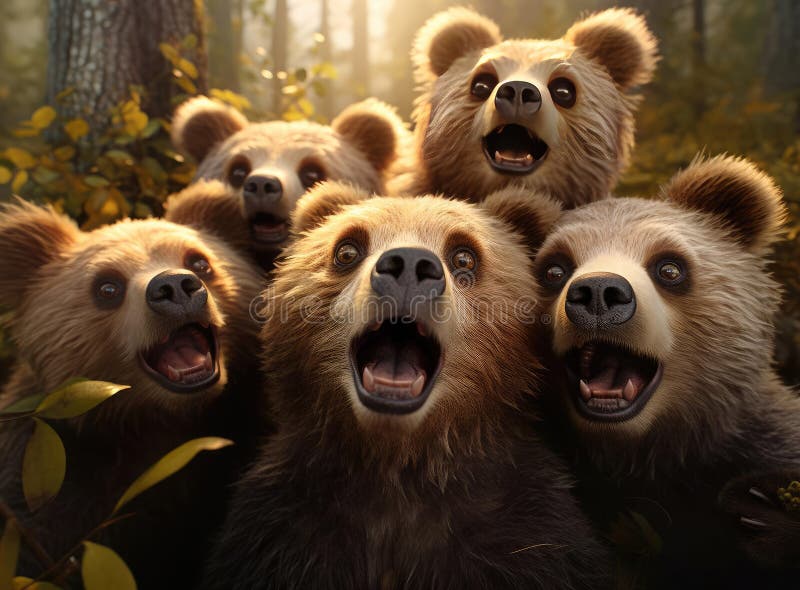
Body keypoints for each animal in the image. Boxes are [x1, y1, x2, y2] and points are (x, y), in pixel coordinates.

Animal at [199, 182, 612, 590]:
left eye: (465, 256)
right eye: (347, 249)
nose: (410, 265)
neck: (399, 461)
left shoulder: (522, 529)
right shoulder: (285, 530)